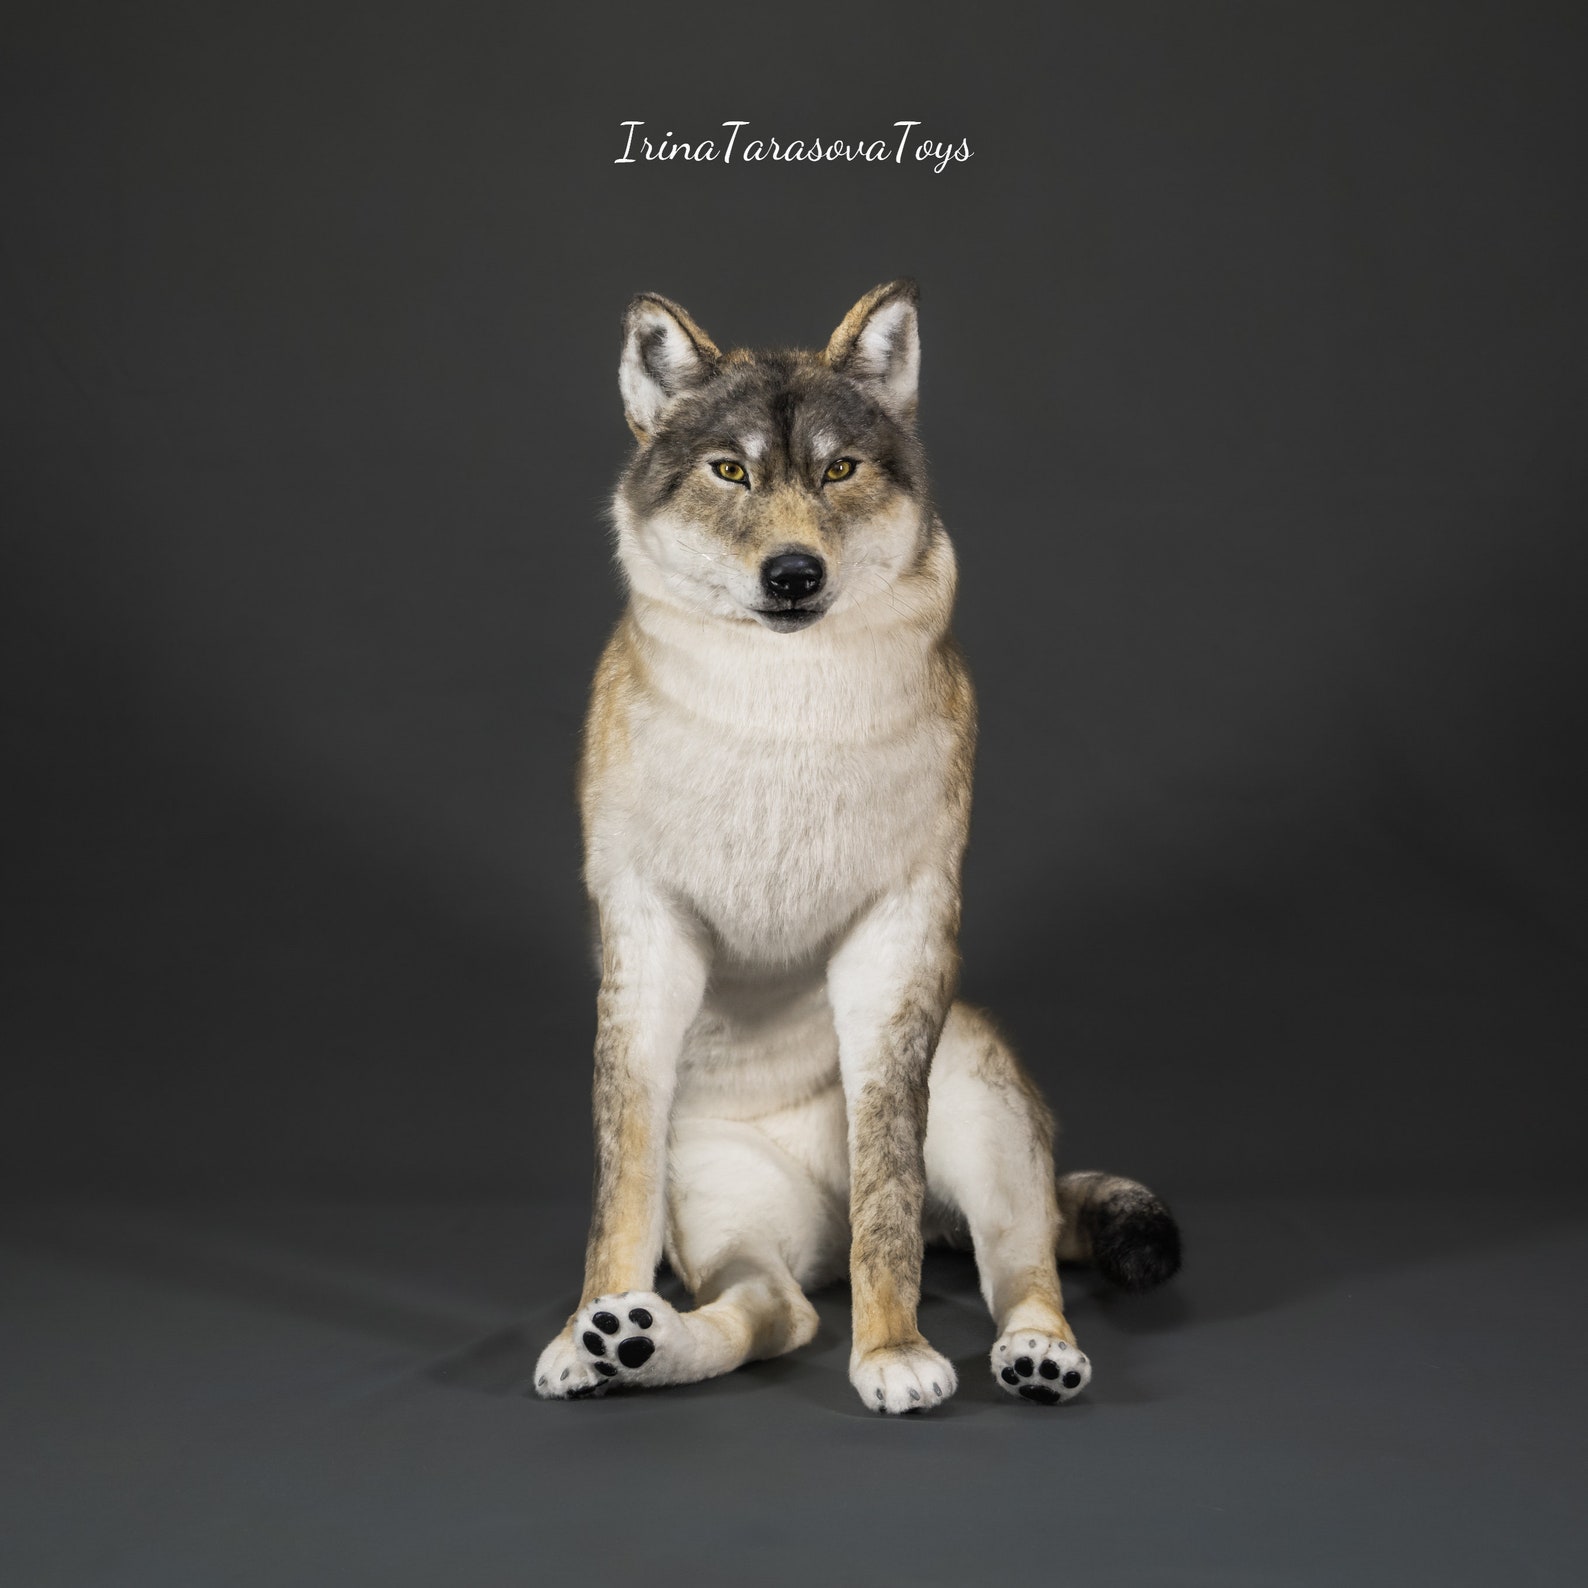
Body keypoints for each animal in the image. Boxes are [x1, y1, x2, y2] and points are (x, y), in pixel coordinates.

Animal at [534, 281, 1181, 1413]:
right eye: (731, 470)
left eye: (838, 470)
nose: (793, 575)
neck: (785, 716)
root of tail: (817, 1237)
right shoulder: (647, 935)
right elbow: (620, 1185)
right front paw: (587, 1326)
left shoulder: (896, 937)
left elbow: (890, 1185)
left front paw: (889, 1349)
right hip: (728, 1208)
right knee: (774, 1312)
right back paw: (638, 1340)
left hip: (982, 1124)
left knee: (1024, 1268)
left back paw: (1036, 1357)